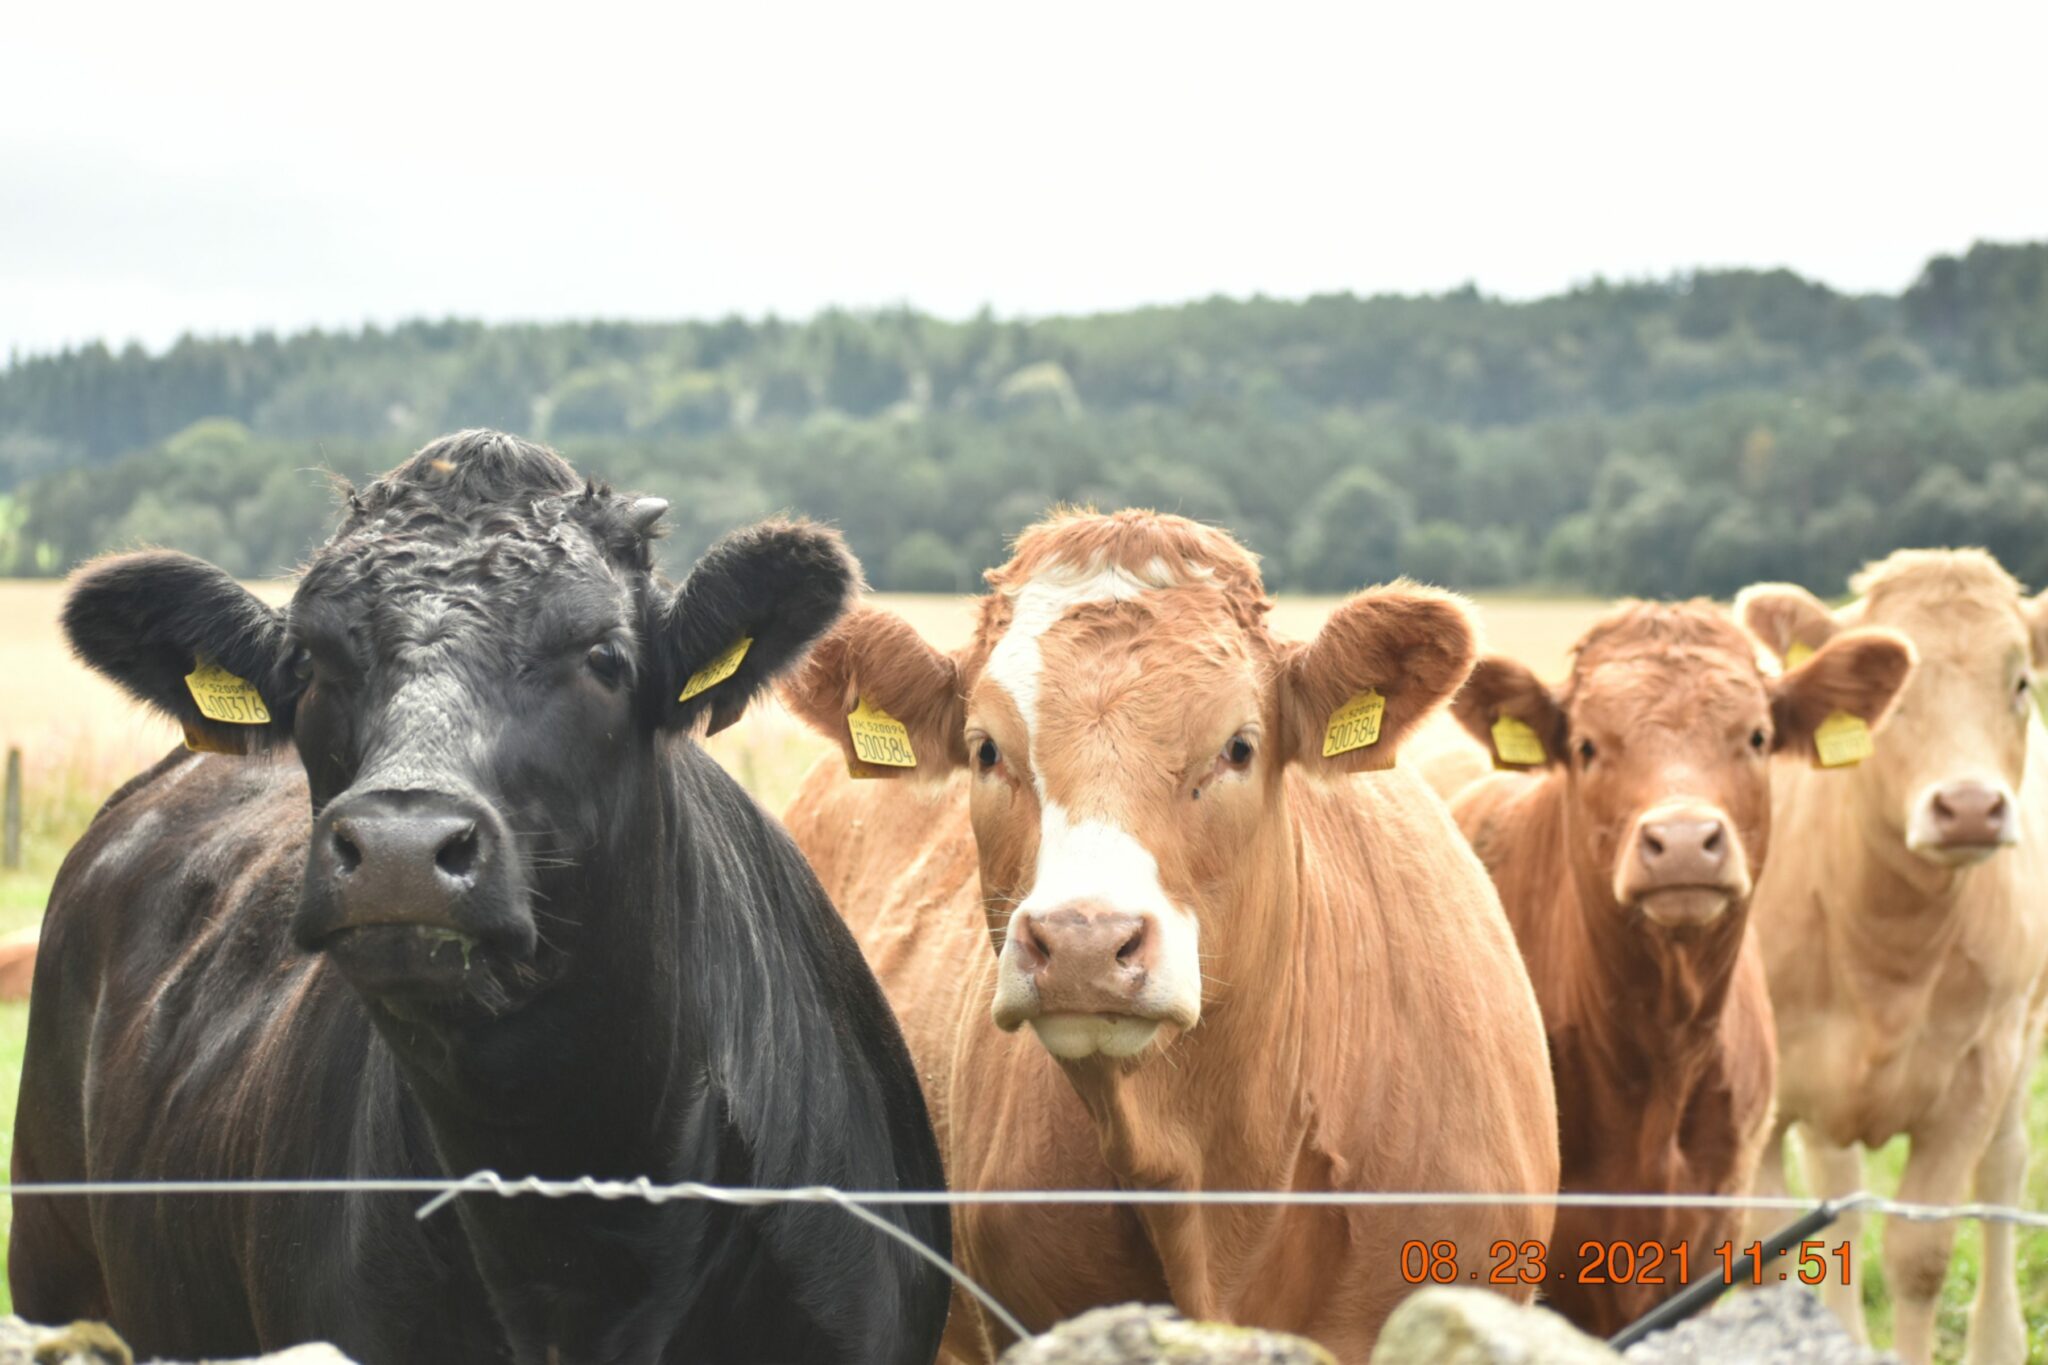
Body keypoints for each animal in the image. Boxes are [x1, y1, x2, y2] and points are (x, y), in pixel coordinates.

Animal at [1737, 550, 2048, 1365]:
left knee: (2002, 1174)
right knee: (1838, 1195)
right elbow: (1776, 1247)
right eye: (1890, 689)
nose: (1970, 807)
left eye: (2020, 682)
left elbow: (1919, 1253)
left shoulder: (1976, 1071)